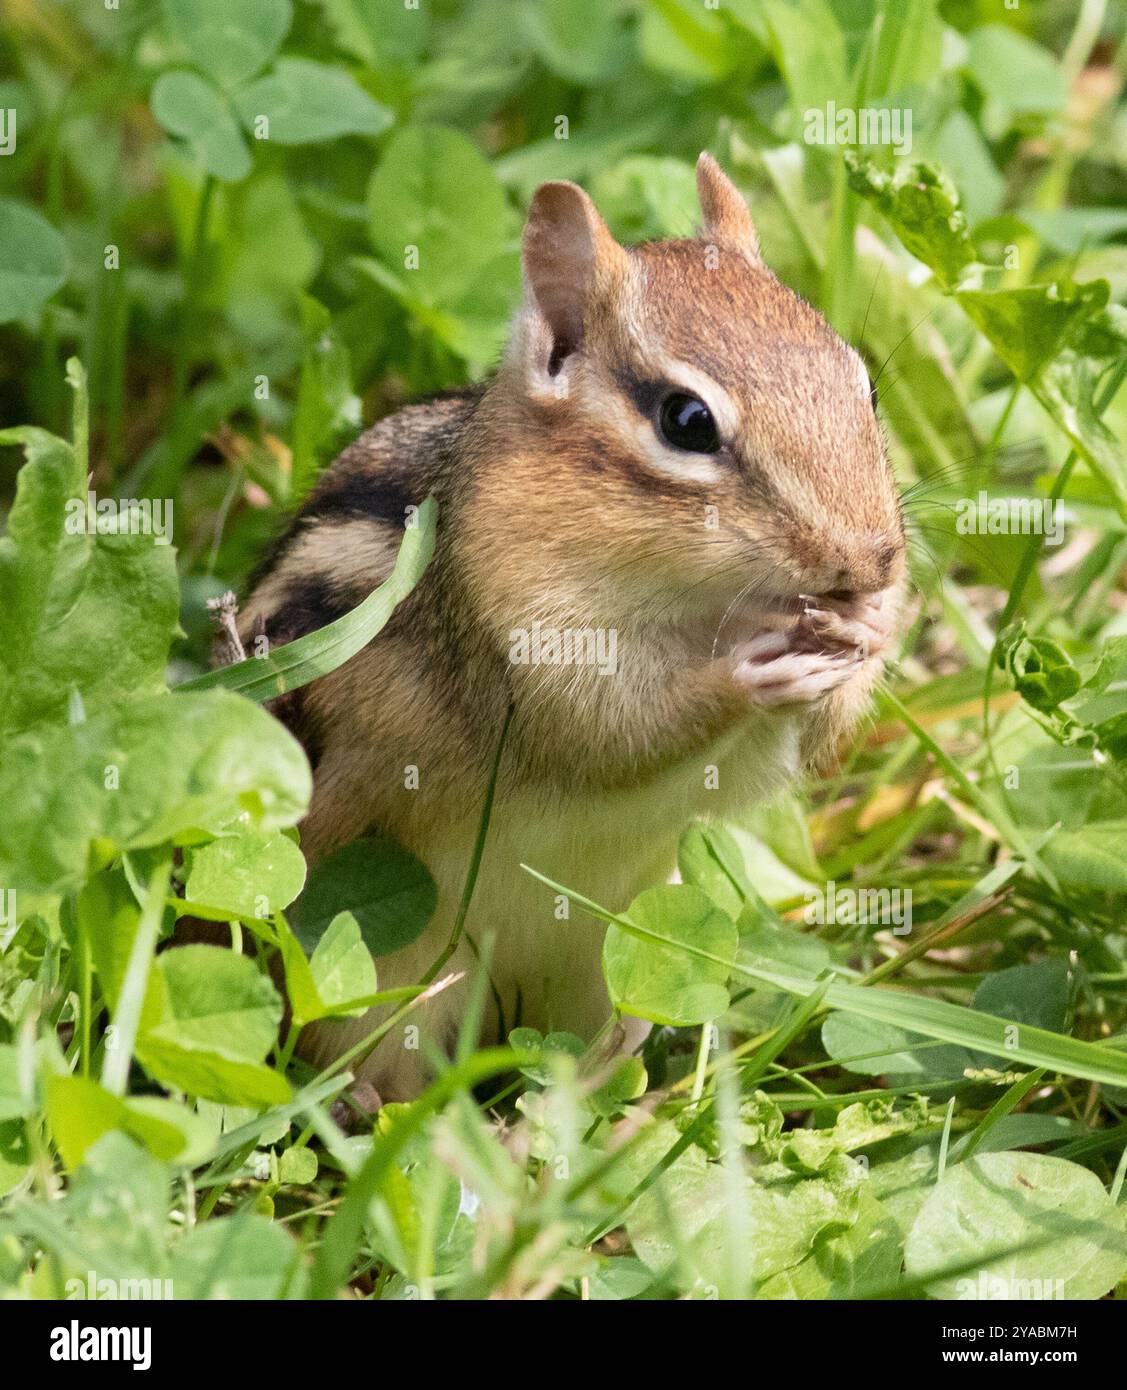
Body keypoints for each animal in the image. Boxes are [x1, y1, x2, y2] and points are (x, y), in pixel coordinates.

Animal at [238, 154, 906, 1101]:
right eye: (686, 421)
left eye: (864, 383)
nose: (872, 560)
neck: (689, 599)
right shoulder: (522, 636)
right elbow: (603, 733)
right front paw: (743, 673)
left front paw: (873, 631)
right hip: (389, 991)